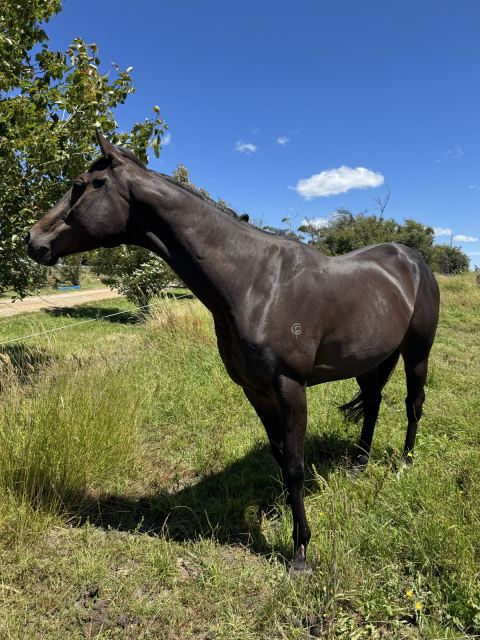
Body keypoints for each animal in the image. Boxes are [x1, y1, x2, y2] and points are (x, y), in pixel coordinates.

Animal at [26, 130, 440, 571]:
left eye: (83, 185)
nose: (33, 240)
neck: (255, 283)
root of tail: (413, 259)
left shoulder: (290, 387)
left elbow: (295, 465)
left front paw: (300, 550)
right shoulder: (255, 390)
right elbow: (279, 456)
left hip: (417, 353)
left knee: (413, 404)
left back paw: (404, 464)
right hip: (371, 359)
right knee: (374, 402)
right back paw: (359, 466)